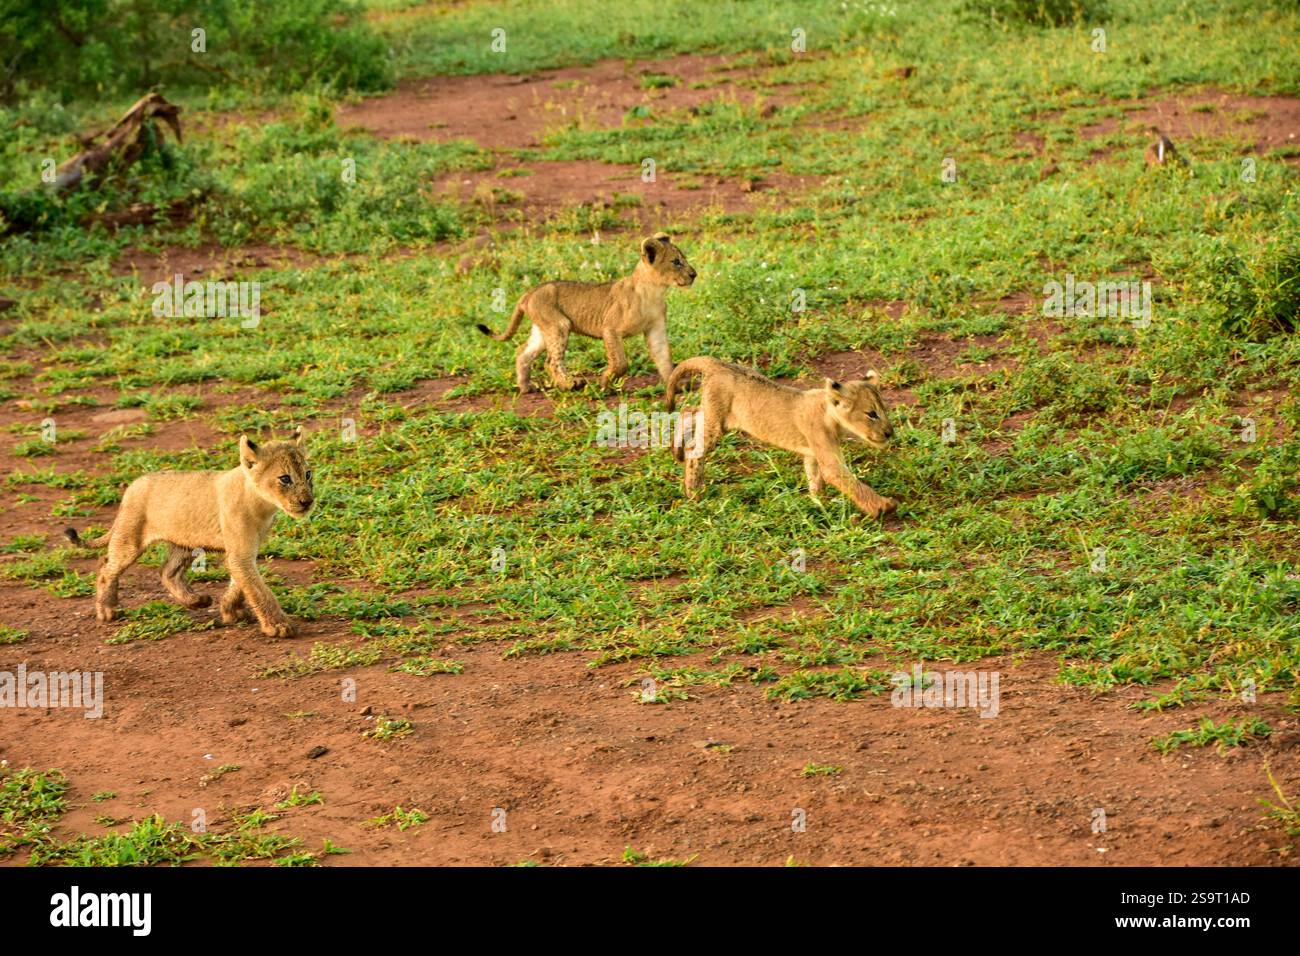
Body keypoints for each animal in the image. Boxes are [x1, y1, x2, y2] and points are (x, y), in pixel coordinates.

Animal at [64, 429, 315, 638]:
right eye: (285, 478)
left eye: (308, 474)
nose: (308, 502)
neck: (263, 504)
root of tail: (133, 485)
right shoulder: (240, 553)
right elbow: (259, 590)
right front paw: (278, 626)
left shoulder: (245, 551)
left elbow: (240, 584)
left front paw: (230, 610)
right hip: (130, 537)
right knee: (107, 567)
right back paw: (107, 610)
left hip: (185, 541)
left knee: (168, 572)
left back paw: (196, 601)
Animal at [476, 232, 697, 394]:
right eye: (676, 262)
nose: (694, 274)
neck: (654, 292)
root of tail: (529, 293)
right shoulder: (610, 328)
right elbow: (620, 362)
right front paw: (605, 384)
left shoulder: (656, 329)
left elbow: (664, 358)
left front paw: (675, 384)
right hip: (559, 325)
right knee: (551, 362)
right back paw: (569, 384)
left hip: (543, 329)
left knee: (523, 353)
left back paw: (526, 387)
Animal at [665, 357, 897, 518]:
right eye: (871, 414)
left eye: (882, 410)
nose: (889, 433)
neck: (831, 415)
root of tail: (718, 364)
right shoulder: (825, 450)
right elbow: (847, 480)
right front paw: (883, 506)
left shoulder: (812, 454)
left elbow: (815, 478)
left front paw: (818, 503)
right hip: (716, 421)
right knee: (695, 446)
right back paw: (693, 491)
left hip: (716, 417)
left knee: (689, 410)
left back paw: (677, 452)